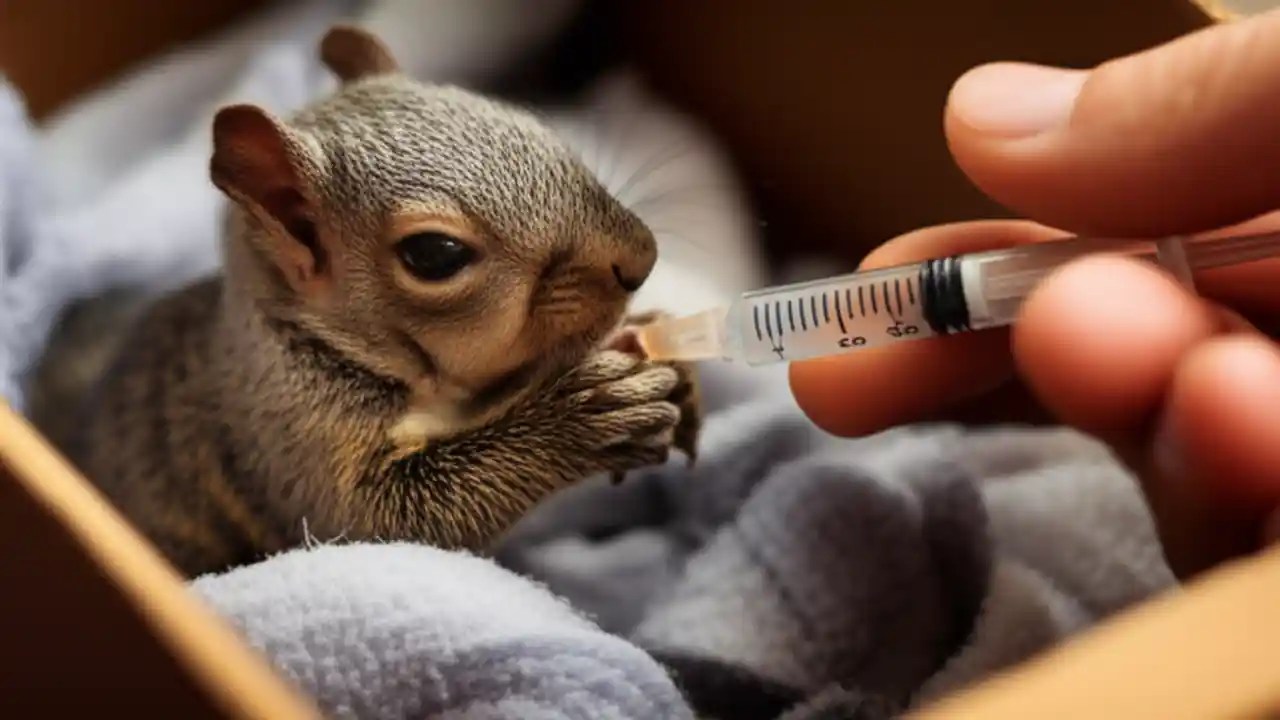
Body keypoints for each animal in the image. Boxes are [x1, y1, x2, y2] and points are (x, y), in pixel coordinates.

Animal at [69, 25, 701, 579]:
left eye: (531, 121)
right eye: (435, 253)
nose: (642, 257)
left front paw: (655, 347)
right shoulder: (295, 441)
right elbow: (386, 523)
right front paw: (587, 413)